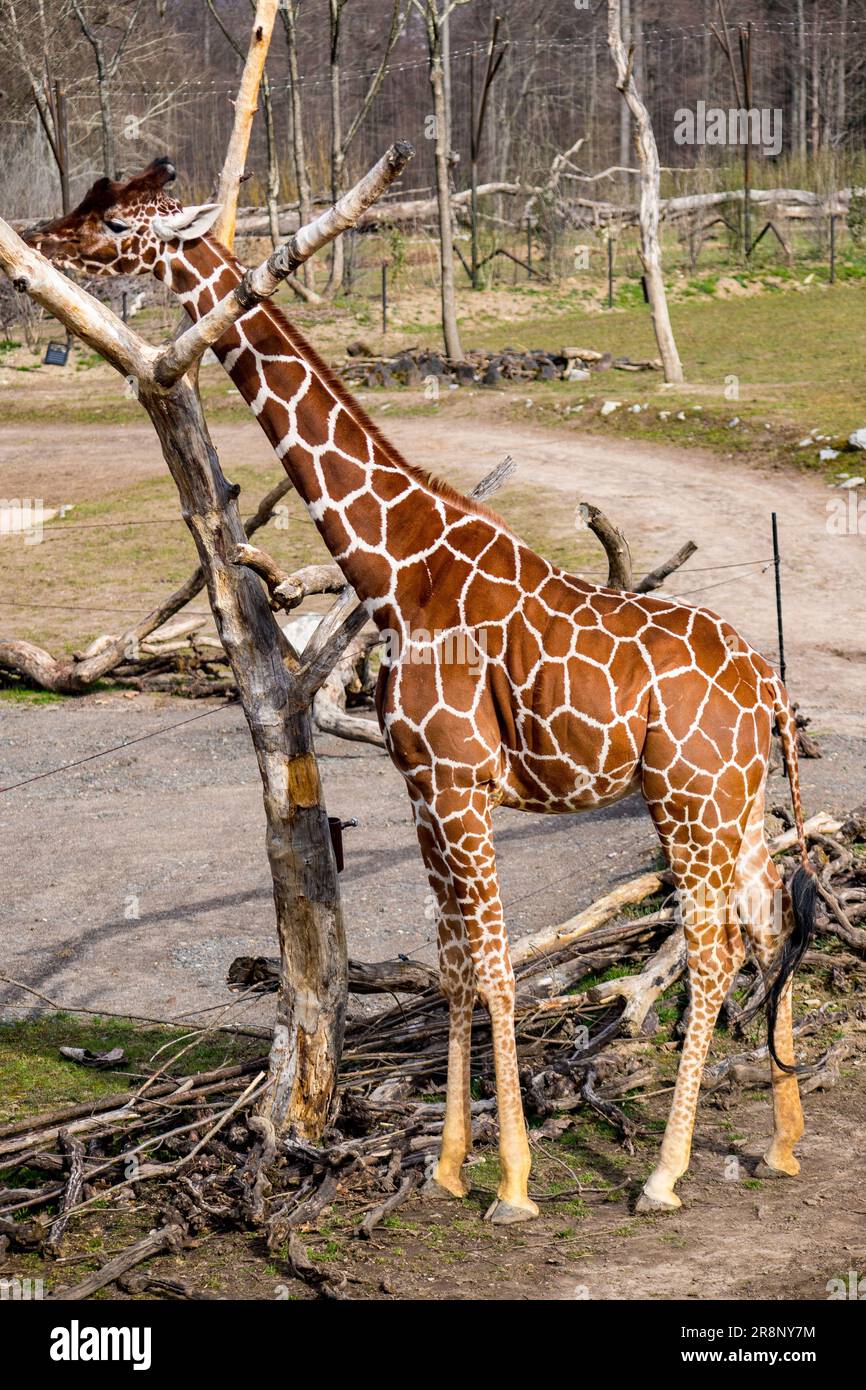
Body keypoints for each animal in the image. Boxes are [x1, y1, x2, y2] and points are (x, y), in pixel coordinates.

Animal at [25, 158, 818, 1221]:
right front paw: (447, 1167)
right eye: (88, 205)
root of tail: (765, 682)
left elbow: (497, 966)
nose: (41, 239)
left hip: (686, 798)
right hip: (729, 799)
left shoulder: (460, 781)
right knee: (768, 914)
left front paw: (513, 1183)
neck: (395, 569)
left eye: (116, 221)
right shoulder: (421, 789)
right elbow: (449, 969)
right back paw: (780, 1144)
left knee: (711, 944)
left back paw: (663, 1173)